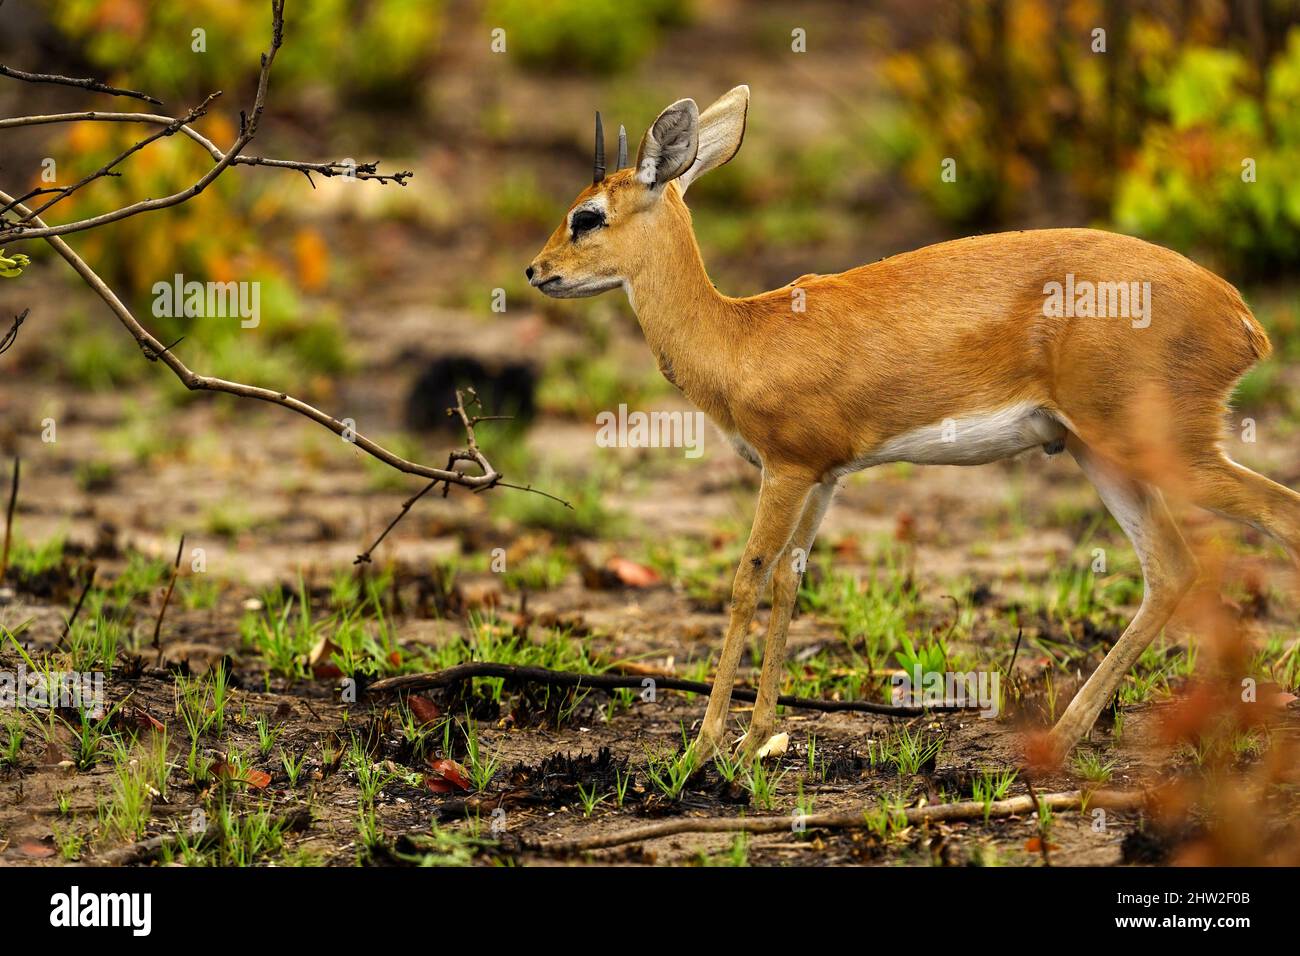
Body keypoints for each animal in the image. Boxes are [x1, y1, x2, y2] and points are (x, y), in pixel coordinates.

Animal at [526, 86, 1300, 764]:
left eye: (587, 215)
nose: (536, 271)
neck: (742, 336)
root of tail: (1240, 316)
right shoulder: (824, 478)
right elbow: (790, 582)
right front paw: (756, 739)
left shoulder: (787, 469)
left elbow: (748, 578)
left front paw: (707, 744)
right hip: (1098, 453)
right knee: (1171, 569)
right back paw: (1062, 737)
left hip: (1166, 448)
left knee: (1278, 514)